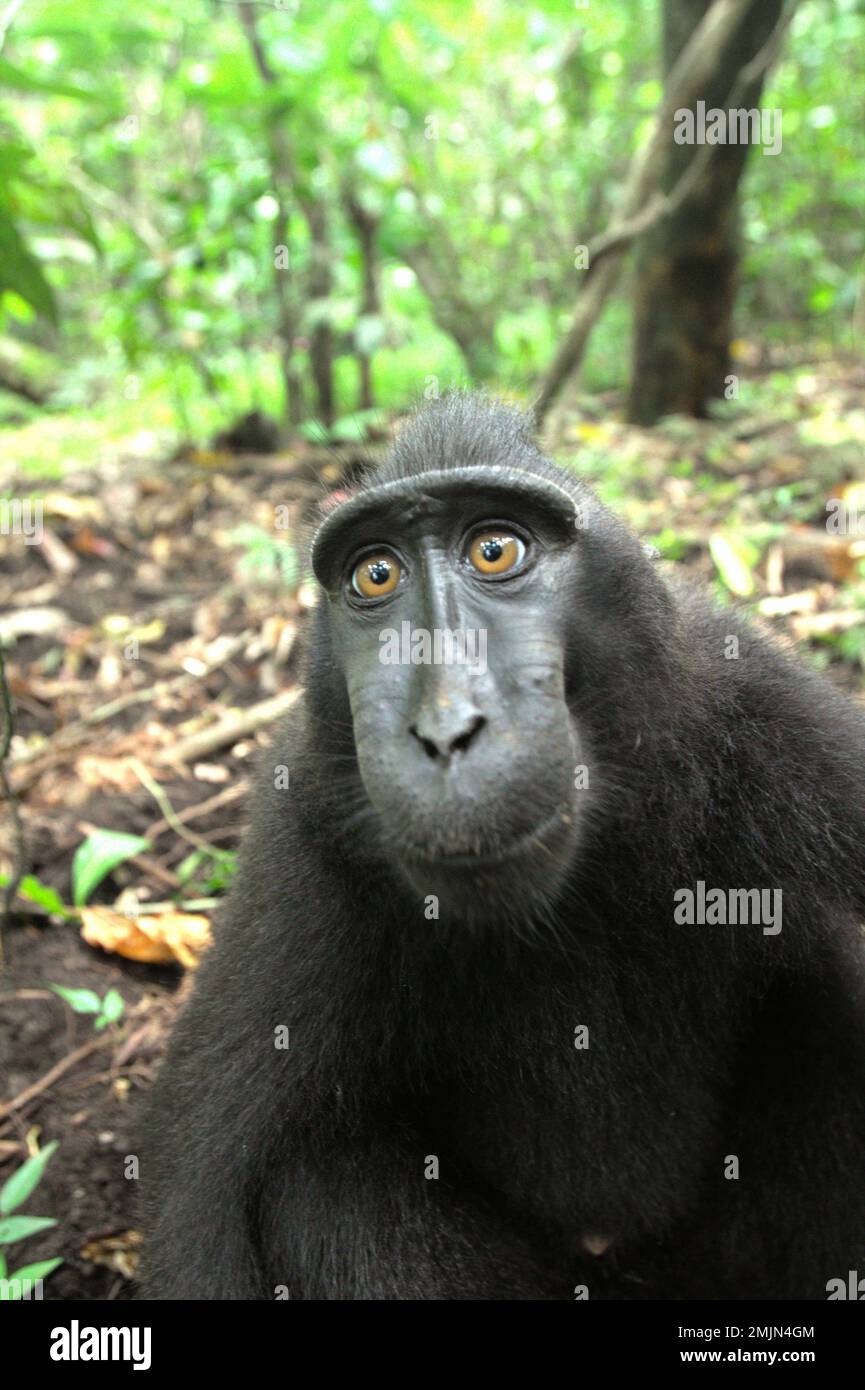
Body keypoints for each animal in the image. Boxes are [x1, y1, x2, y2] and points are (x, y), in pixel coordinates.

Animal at [140, 392, 865, 1300]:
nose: (446, 732)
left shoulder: (772, 725)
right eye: (375, 576)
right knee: (317, 1188)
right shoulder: (300, 833)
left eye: (494, 550)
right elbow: (196, 1206)